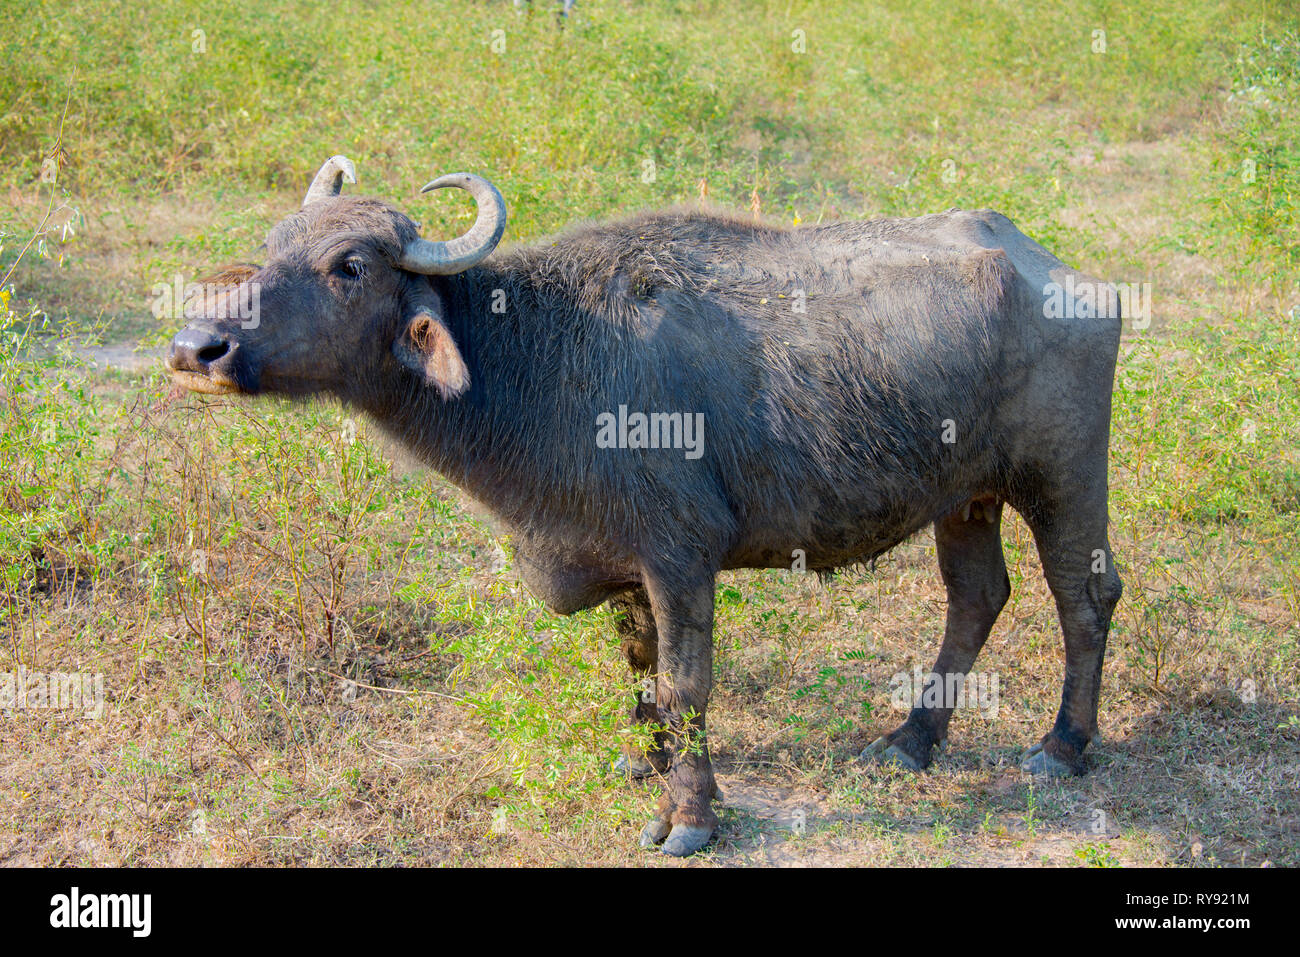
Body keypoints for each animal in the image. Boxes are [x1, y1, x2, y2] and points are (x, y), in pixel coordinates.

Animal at [168, 156, 1124, 856]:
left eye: (350, 266)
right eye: (273, 242)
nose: (195, 346)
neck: (543, 360)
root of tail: (1053, 268)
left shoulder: (680, 557)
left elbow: (686, 681)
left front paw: (690, 814)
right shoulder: (620, 562)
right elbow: (639, 673)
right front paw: (647, 760)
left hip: (1063, 474)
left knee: (1085, 595)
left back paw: (1062, 745)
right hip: (968, 494)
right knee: (977, 597)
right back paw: (912, 738)